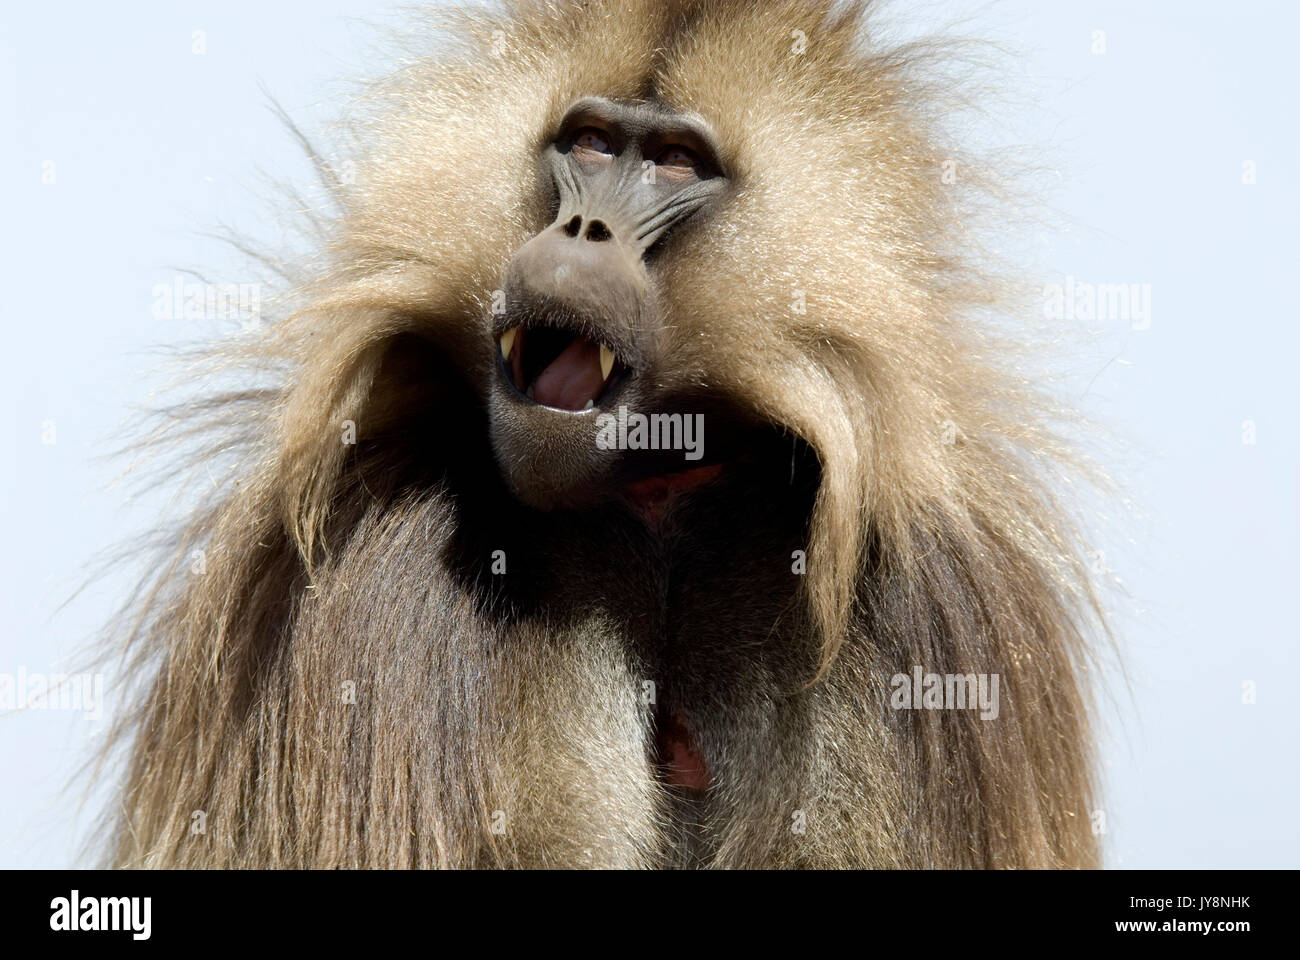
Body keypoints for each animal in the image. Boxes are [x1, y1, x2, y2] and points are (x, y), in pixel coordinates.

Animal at [102, 0, 1104, 869]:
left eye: (674, 161)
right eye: (588, 143)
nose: (581, 230)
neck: (652, 492)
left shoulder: (925, 609)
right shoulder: (366, 567)